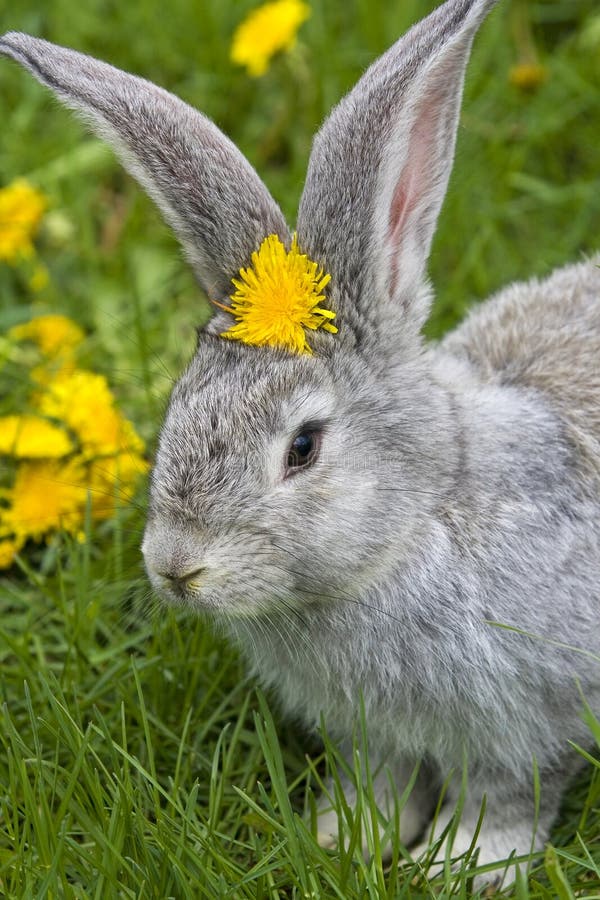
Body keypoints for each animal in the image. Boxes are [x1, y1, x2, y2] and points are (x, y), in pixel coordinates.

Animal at [2, 0, 599, 888]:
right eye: (178, 406)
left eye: (305, 448)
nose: (175, 568)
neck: (420, 520)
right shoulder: (373, 738)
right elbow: (377, 782)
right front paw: (342, 839)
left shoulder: (531, 714)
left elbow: (507, 796)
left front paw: (461, 868)